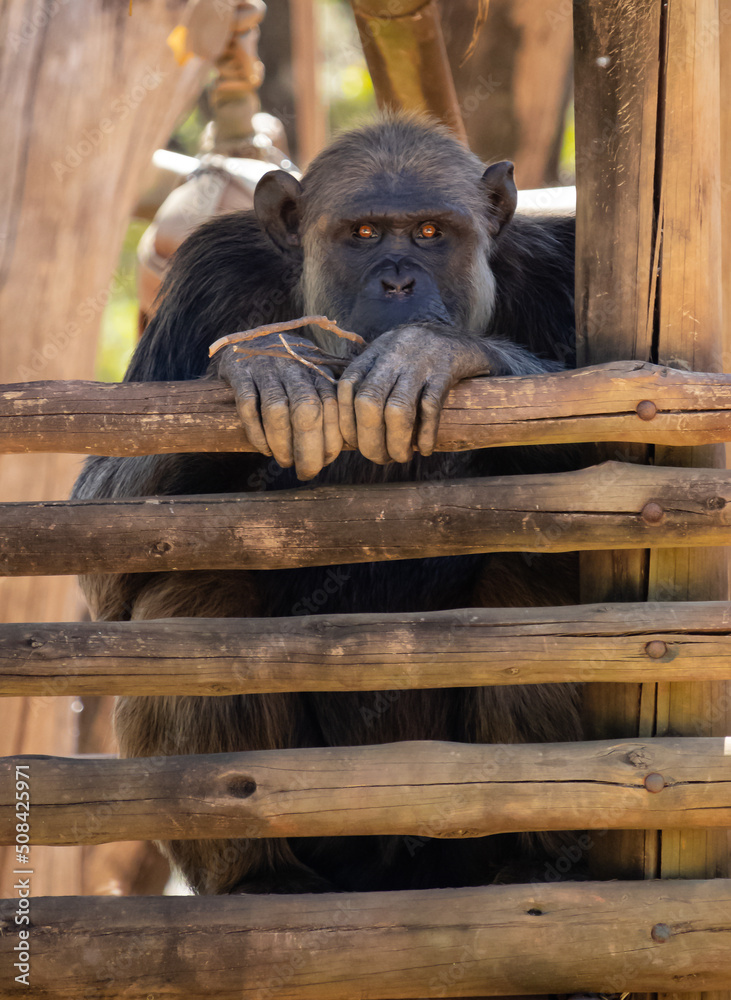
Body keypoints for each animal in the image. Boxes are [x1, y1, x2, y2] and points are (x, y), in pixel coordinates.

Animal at [72, 114, 583, 896]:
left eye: (430, 232)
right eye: (364, 233)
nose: (398, 279)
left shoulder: (564, 268)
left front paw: (432, 352)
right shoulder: (205, 276)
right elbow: (100, 531)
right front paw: (264, 367)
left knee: (541, 583)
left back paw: (534, 863)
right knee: (193, 595)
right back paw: (256, 875)